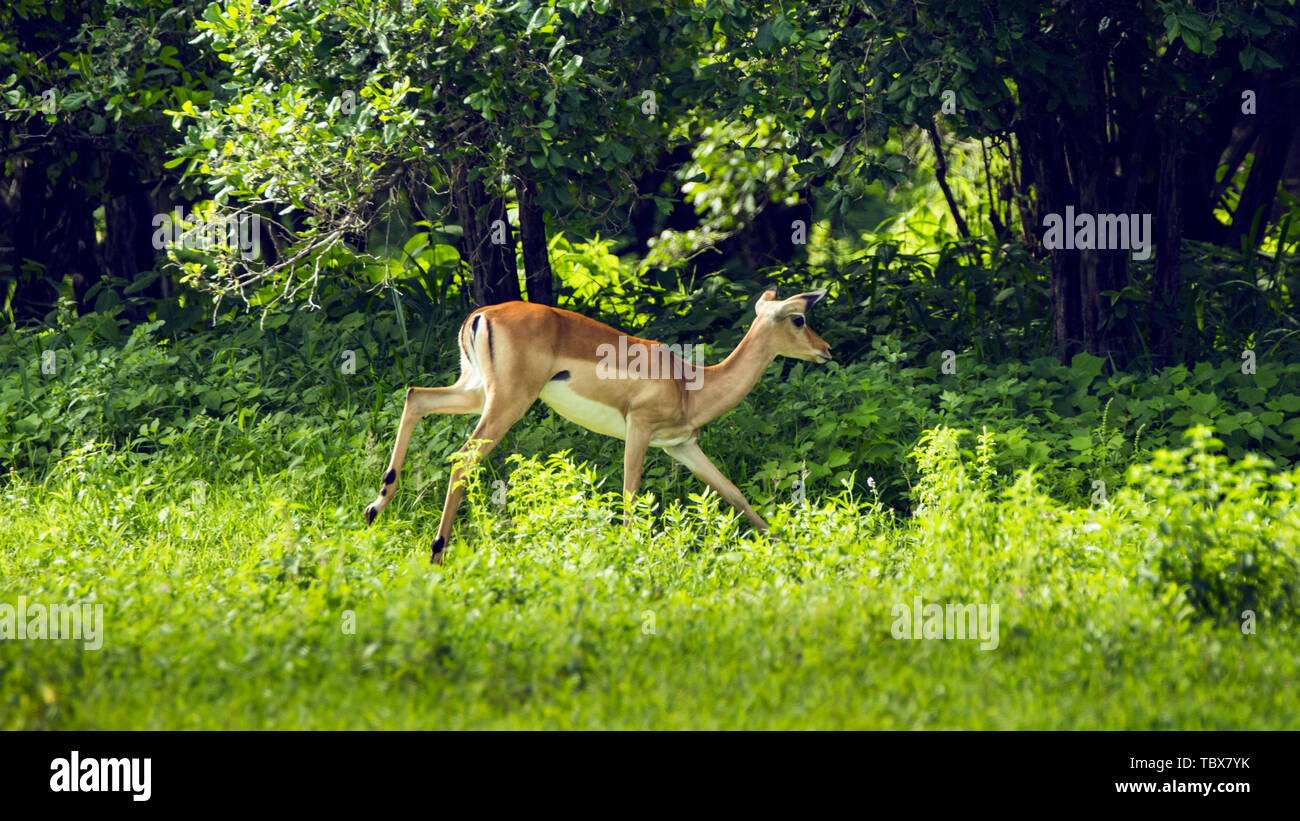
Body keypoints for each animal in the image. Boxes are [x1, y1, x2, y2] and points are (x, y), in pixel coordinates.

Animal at [364, 288, 833, 562]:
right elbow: (630, 495)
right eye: (798, 318)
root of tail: (480, 316)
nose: (826, 350)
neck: (690, 386)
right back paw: (436, 551)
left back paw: (374, 510)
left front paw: (784, 544)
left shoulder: (681, 445)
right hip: (507, 402)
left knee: (415, 396)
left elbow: (733, 492)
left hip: (475, 391)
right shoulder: (639, 429)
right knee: (462, 457)